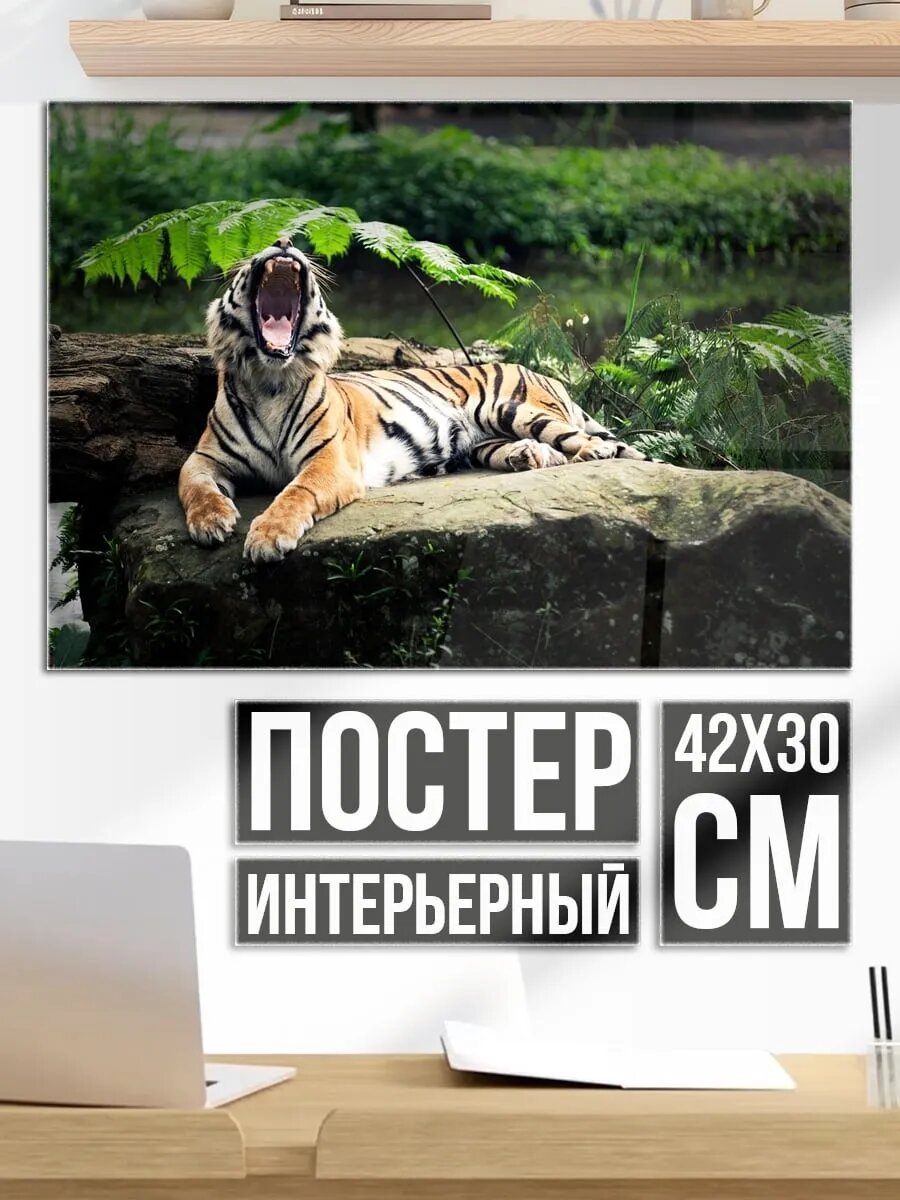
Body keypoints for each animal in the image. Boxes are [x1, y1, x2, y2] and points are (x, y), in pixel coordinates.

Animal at [179, 237, 648, 564]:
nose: (283, 241)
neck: (271, 379)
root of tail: (546, 375)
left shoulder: (329, 460)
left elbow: (296, 492)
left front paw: (267, 537)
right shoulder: (206, 457)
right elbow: (193, 485)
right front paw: (211, 521)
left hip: (511, 408)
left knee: (590, 442)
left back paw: (591, 451)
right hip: (483, 441)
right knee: (545, 451)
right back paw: (529, 457)